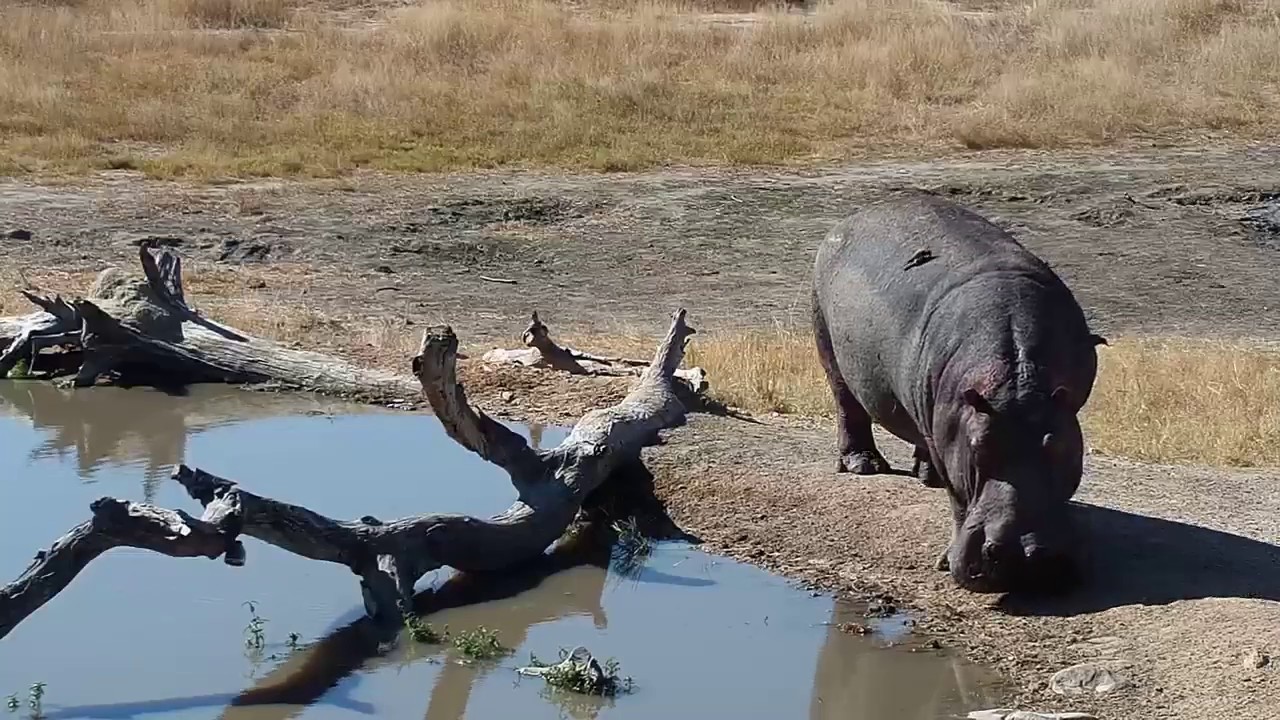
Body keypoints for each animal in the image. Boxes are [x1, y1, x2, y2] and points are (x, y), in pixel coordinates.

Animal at [811, 190, 1105, 593]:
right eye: (979, 448)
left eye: (1057, 446)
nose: (1025, 556)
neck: (1016, 386)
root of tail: (850, 219)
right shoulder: (952, 449)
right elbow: (957, 499)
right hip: (828, 345)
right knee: (847, 406)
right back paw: (865, 466)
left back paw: (924, 475)